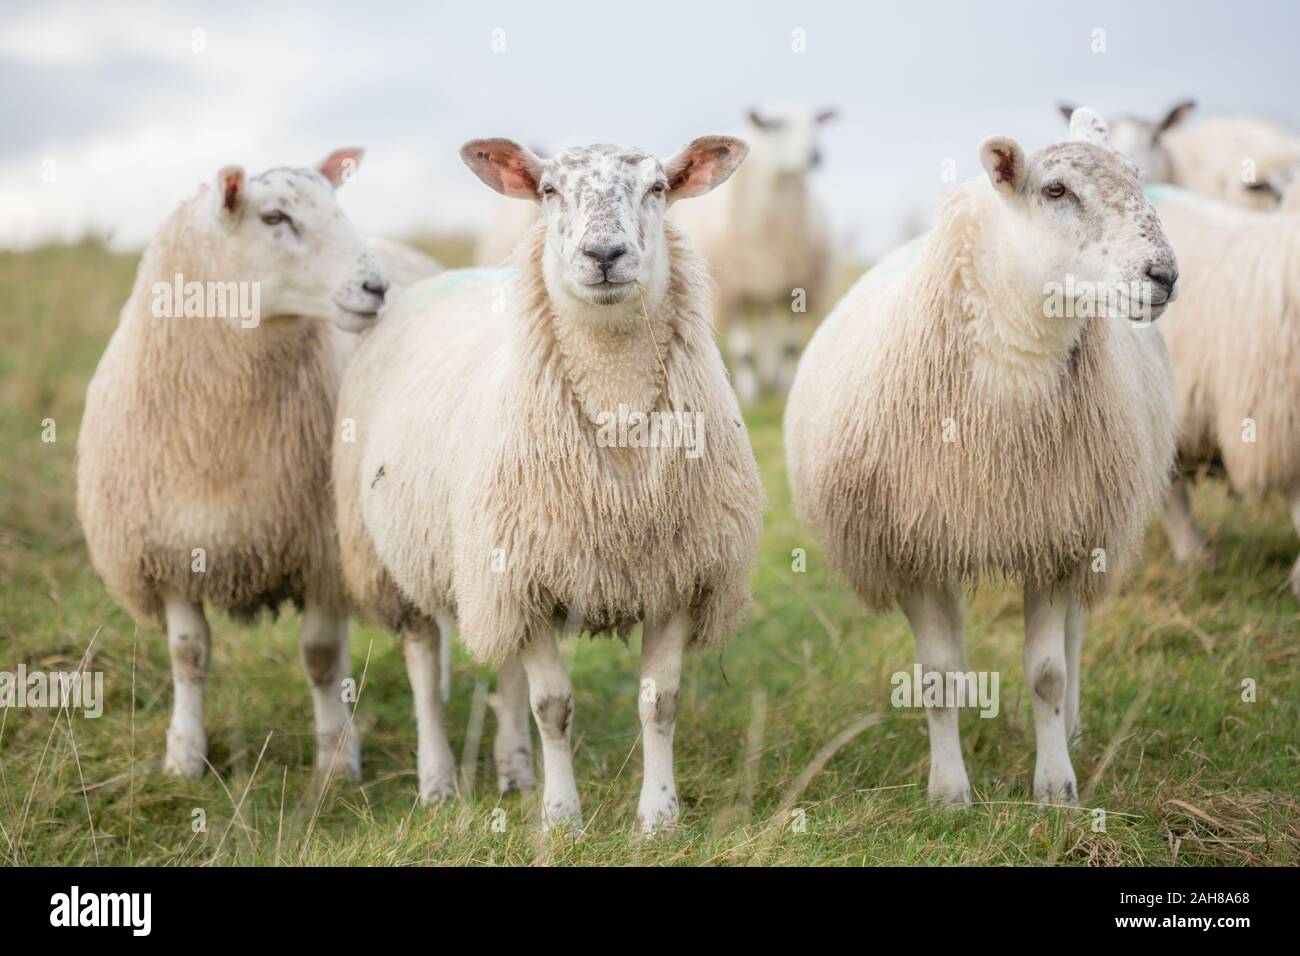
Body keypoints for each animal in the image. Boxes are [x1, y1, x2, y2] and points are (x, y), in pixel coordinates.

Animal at [77, 149, 389, 780]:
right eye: (274, 217)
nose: (376, 286)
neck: (215, 434)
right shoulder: (168, 547)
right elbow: (188, 654)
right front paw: (184, 754)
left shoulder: (322, 549)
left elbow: (321, 656)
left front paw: (335, 759)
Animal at [334, 136, 765, 830]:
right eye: (549, 190)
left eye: (658, 188)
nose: (605, 255)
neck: (617, 416)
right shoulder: (527, 574)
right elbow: (554, 707)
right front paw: (563, 817)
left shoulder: (675, 574)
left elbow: (659, 703)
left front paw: (658, 817)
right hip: (396, 557)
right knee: (424, 666)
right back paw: (438, 781)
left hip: (493, 569)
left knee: (507, 668)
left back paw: (514, 771)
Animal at [671, 105, 839, 405]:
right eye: (776, 125)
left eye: (815, 124)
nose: (815, 155)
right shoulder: (732, 290)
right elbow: (744, 353)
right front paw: (750, 394)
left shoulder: (796, 285)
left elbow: (789, 346)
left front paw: (784, 386)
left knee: (768, 329)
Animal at [785, 110, 1179, 804]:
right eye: (1056, 190)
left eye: (1140, 178)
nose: (1164, 275)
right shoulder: (913, 546)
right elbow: (939, 674)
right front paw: (949, 791)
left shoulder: (1057, 534)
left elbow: (1048, 672)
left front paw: (1056, 786)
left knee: (1075, 637)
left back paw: (1073, 731)